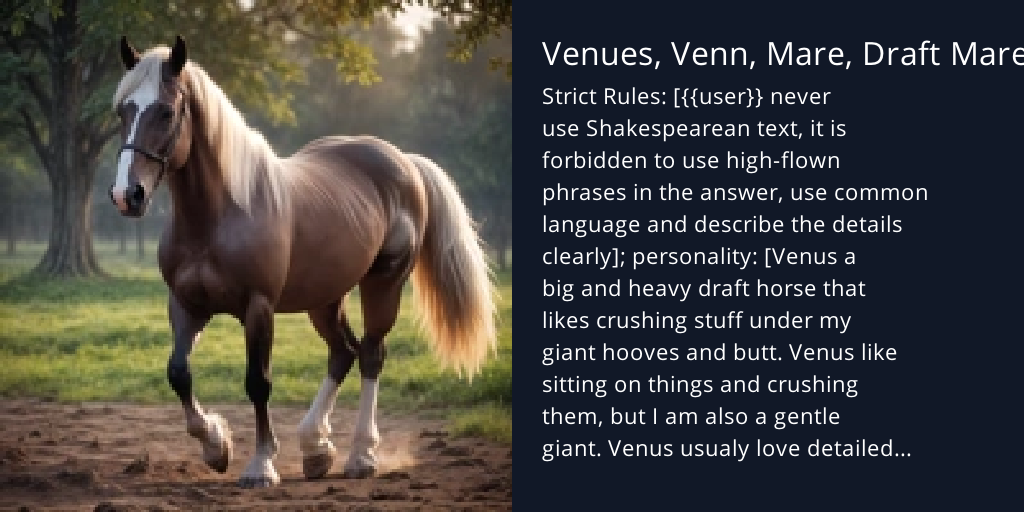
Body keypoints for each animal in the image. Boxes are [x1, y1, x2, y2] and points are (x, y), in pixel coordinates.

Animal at [108, 36, 496, 488]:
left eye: (167, 112)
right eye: (122, 111)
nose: (126, 195)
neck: (220, 215)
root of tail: (403, 161)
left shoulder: (258, 308)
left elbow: (258, 382)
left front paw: (261, 465)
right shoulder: (186, 306)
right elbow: (178, 373)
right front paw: (216, 446)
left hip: (383, 283)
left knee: (371, 354)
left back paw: (361, 456)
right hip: (325, 298)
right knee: (343, 353)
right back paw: (316, 448)